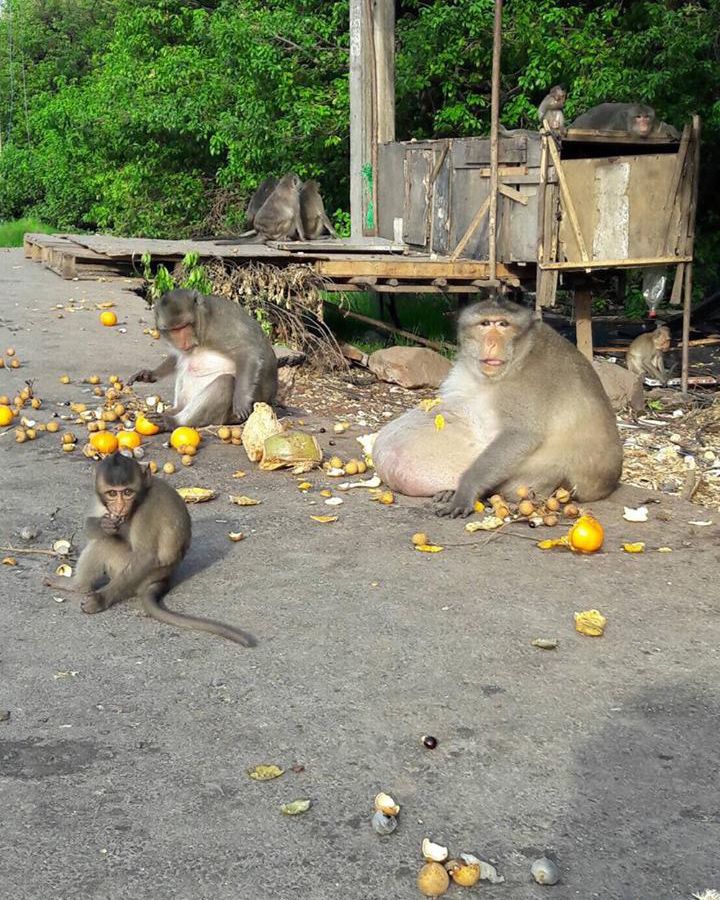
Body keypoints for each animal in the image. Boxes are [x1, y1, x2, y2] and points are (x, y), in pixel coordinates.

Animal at [47, 453, 255, 646]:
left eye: (128, 492)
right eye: (112, 493)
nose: (120, 506)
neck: (143, 492)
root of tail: (162, 580)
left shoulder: (146, 509)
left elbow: (145, 556)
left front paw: (100, 600)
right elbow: (88, 526)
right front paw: (105, 524)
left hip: (129, 575)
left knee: (105, 544)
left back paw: (78, 586)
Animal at [128, 288, 278, 429]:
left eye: (184, 326)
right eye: (174, 330)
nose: (183, 342)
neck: (202, 323)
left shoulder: (219, 327)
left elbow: (248, 351)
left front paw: (240, 401)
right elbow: (178, 355)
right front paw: (150, 374)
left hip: (226, 417)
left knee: (225, 382)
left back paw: (173, 422)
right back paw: (174, 411)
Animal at [372, 298, 622, 518]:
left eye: (503, 324)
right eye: (485, 324)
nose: (491, 342)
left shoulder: (529, 382)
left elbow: (522, 435)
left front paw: (466, 488)